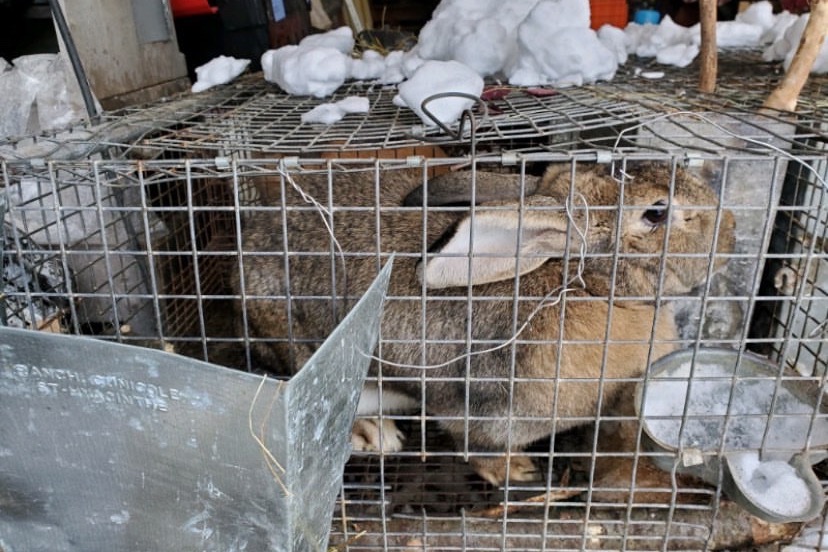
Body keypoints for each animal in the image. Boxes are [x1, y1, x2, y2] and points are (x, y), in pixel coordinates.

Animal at [234, 161, 736, 488]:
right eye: (656, 212)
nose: (731, 229)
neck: (584, 284)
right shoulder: (475, 411)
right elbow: (475, 447)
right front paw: (517, 471)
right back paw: (374, 433)